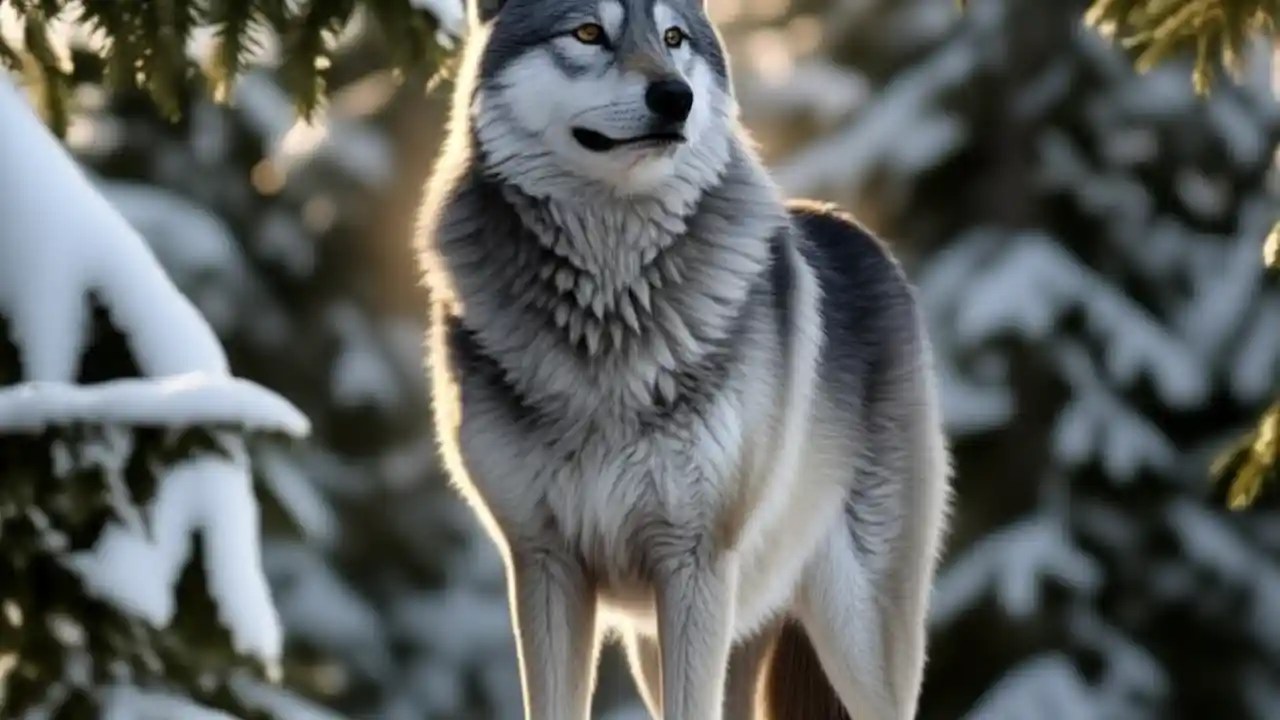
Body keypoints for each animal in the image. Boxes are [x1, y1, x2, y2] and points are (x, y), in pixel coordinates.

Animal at [417, 0, 951, 718]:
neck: (609, 312)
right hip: (672, 639)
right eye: (588, 32)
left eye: (674, 37)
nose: (675, 97)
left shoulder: (693, 558)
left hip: (855, 631)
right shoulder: (543, 561)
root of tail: (853, 228)